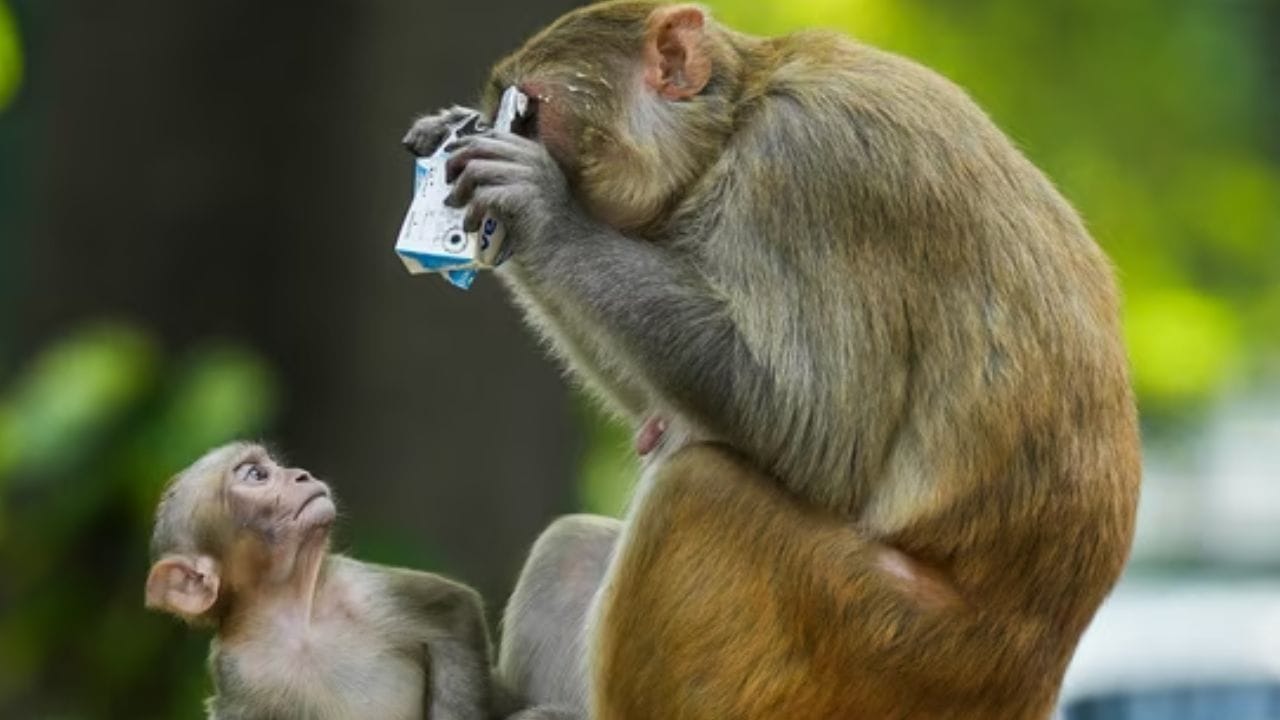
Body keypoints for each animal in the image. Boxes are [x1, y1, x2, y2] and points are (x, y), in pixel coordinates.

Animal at [144, 442, 496, 720]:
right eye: (256, 474)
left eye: (276, 465)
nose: (301, 474)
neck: (294, 614)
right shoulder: (235, 672)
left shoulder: (363, 589)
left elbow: (455, 613)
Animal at [403, 2, 1140, 718]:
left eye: (528, 111)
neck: (734, 125)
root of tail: (1028, 680)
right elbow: (662, 414)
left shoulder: (814, 163)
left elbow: (815, 429)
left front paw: (542, 209)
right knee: (576, 543)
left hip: (879, 650)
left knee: (696, 489)